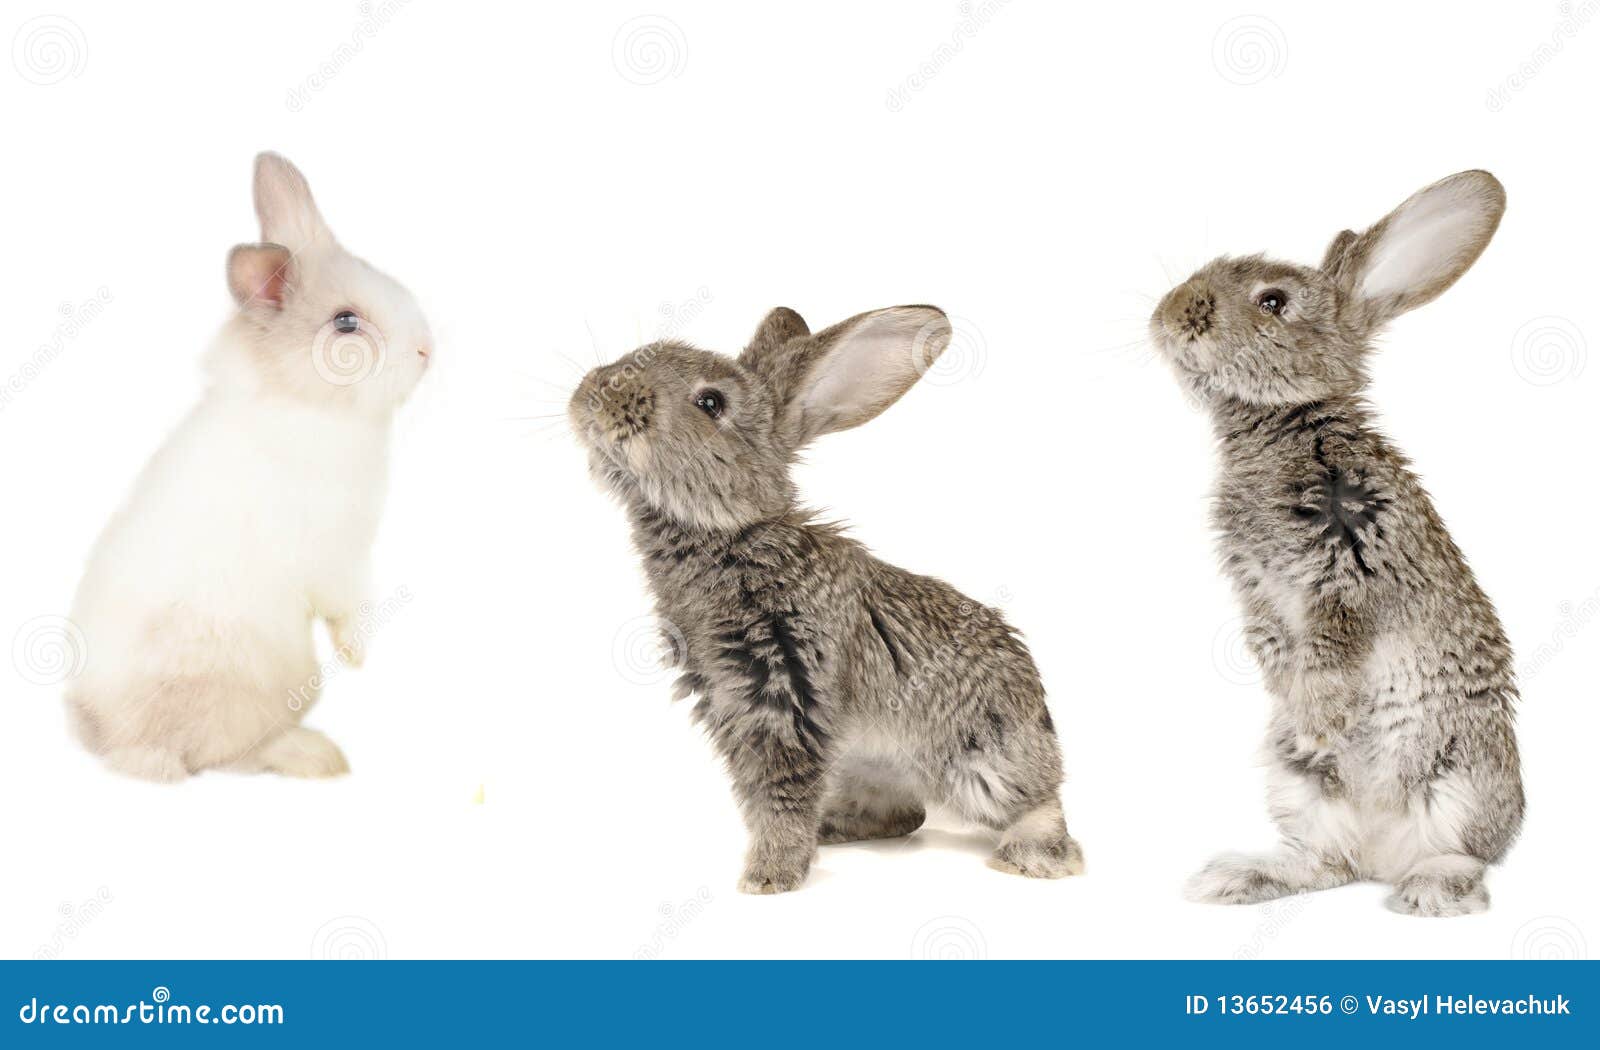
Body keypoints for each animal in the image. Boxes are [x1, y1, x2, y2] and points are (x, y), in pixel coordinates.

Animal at [65, 152, 432, 782]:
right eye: (346, 323)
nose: (428, 350)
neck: (309, 406)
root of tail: (114, 739)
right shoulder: (337, 555)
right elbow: (347, 605)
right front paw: (358, 655)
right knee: (224, 755)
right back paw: (317, 756)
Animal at [570, 305, 1084, 893]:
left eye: (711, 403)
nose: (591, 395)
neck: (736, 533)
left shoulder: (787, 695)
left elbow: (781, 795)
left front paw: (768, 876)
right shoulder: (729, 701)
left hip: (983, 761)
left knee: (1037, 802)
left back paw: (1033, 856)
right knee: (905, 813)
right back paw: (839, 827)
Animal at [1148, 170, 1524, 916]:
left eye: (1273, 301)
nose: (1167, 315)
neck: (1285, 422)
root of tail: (1386, 856)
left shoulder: (1349, 573)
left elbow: (1329, 653)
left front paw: (1319, 717)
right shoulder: (1259, 592)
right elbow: (1275, 648)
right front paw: (1301, 717)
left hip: (1458, 775)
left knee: (1465, 854)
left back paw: (1429, 891)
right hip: (1299, 788)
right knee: (1328, 864)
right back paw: (1238, 876)